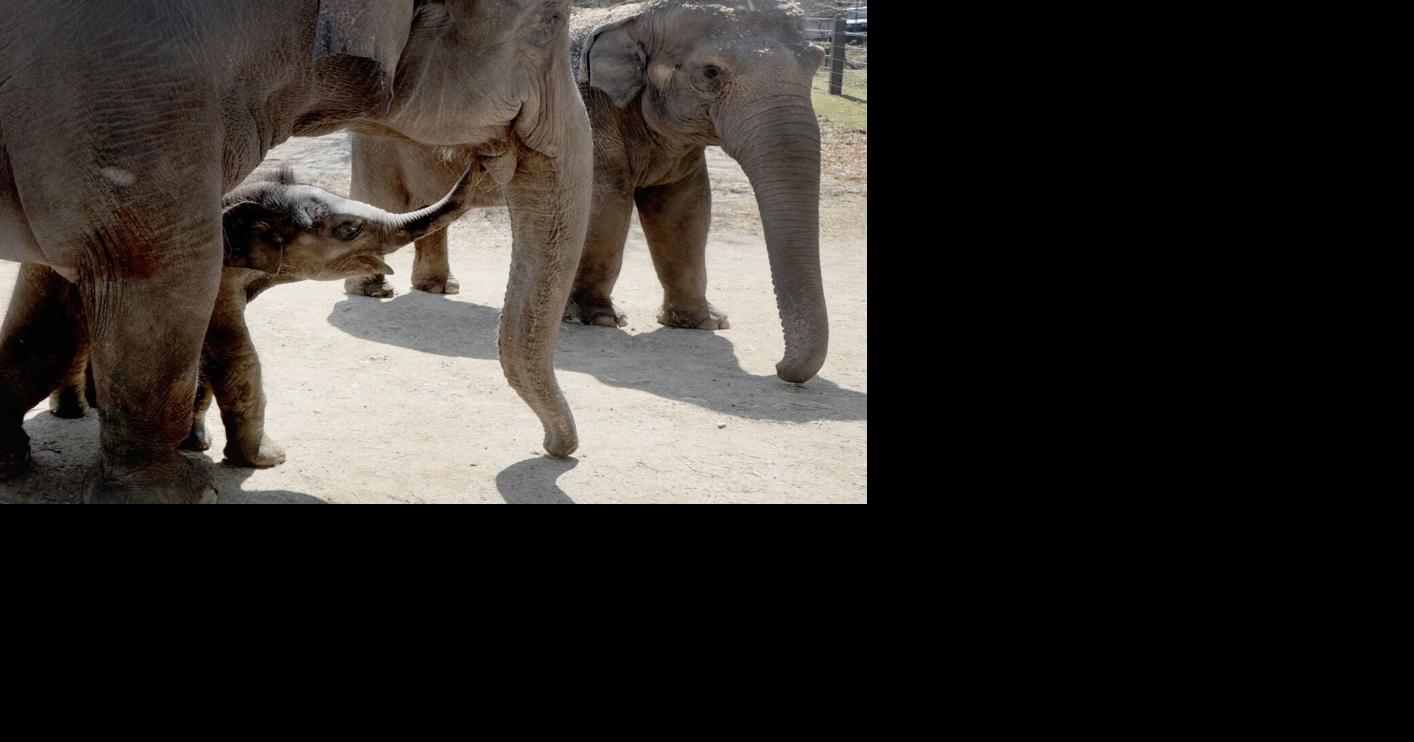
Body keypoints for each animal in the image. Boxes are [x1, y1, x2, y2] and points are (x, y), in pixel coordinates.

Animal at [45, 164, 479, 469]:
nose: (485, 156)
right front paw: (267, 461)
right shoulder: (210, 277)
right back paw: (73, 411)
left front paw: (196, 444)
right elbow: (238, 357)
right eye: (349, 229)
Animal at [342, 0, 830, 384]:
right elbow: (606, 206)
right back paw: (373, 291)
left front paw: (705, 323)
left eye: (817, 60)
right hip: (373, 142)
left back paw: (439, 288)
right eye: (711, 73)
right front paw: (601, 320)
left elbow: (685, 212)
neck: (637, 16)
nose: (780, 369)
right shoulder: (591, 117)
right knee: (383, 200)